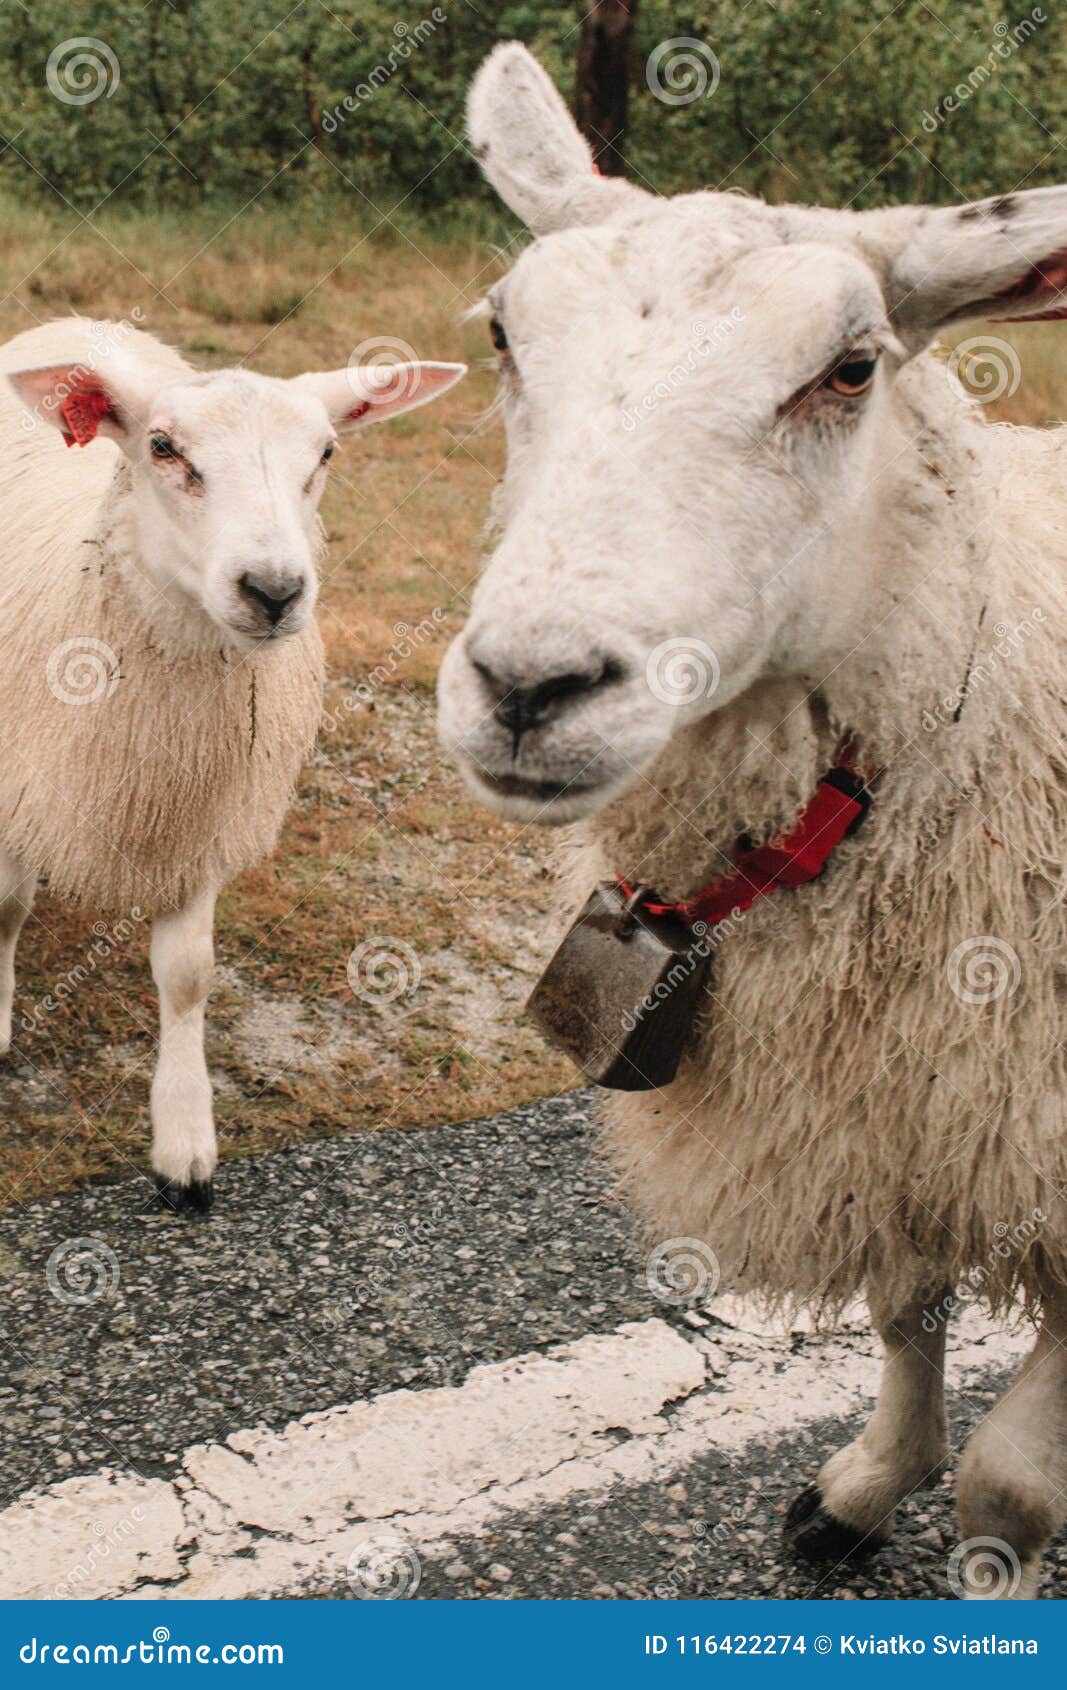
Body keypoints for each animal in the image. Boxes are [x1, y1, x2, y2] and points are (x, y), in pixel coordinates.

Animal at [1, 317, 465, 1213]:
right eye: (162, 446)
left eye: (325, 453)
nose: (274, 590)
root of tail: (85, 327)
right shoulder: (13, 787)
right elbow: (6, 910)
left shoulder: (205, 814)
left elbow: (187, 977)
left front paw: (184, 1141)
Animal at [437, 42, 1067, 1598]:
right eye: (504, 335)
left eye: (847, 370)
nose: (527, 686)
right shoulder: (885, 1107)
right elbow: (904, 1314)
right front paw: (862, 1484)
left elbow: (1011, 1478)